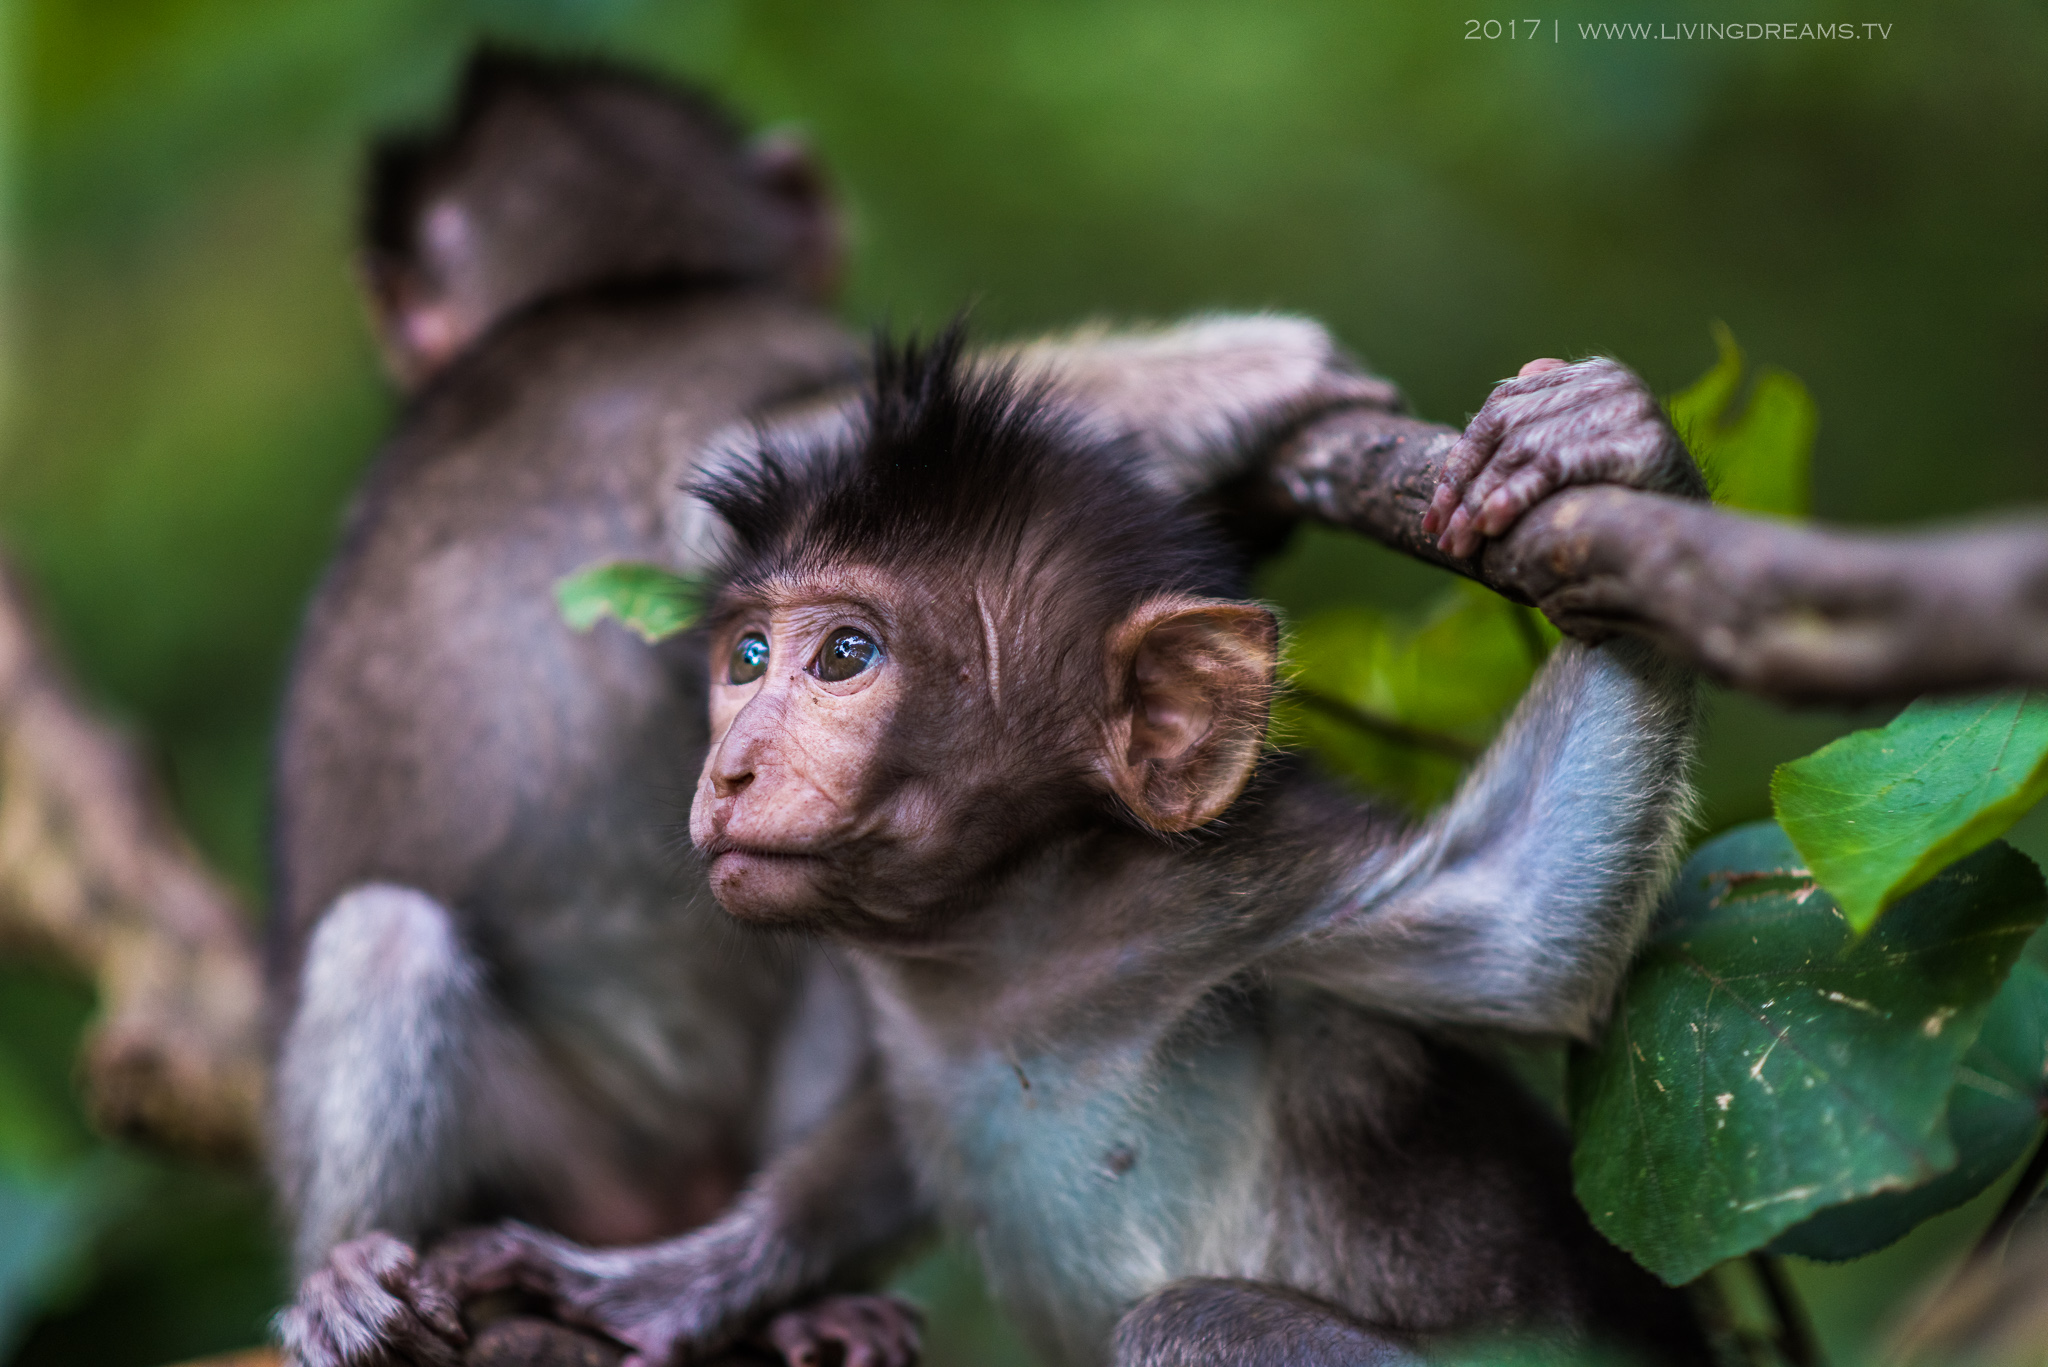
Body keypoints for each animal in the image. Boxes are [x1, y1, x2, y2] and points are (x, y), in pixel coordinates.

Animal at [267, 49, 1397, 1367]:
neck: (606, 290)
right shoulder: (731, 351)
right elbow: (762, 476)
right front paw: (1236, 373)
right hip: (560, 1160)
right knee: (384, 934)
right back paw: (347, 1276)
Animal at [409, 331, 1715, 1367]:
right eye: (745, 657)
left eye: (843, 655)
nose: (728, 770)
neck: (1001, 934)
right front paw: (670, 1283)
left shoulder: (1239, 887)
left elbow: (1519, 931)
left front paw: (1617, 447)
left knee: (1186, 1320)